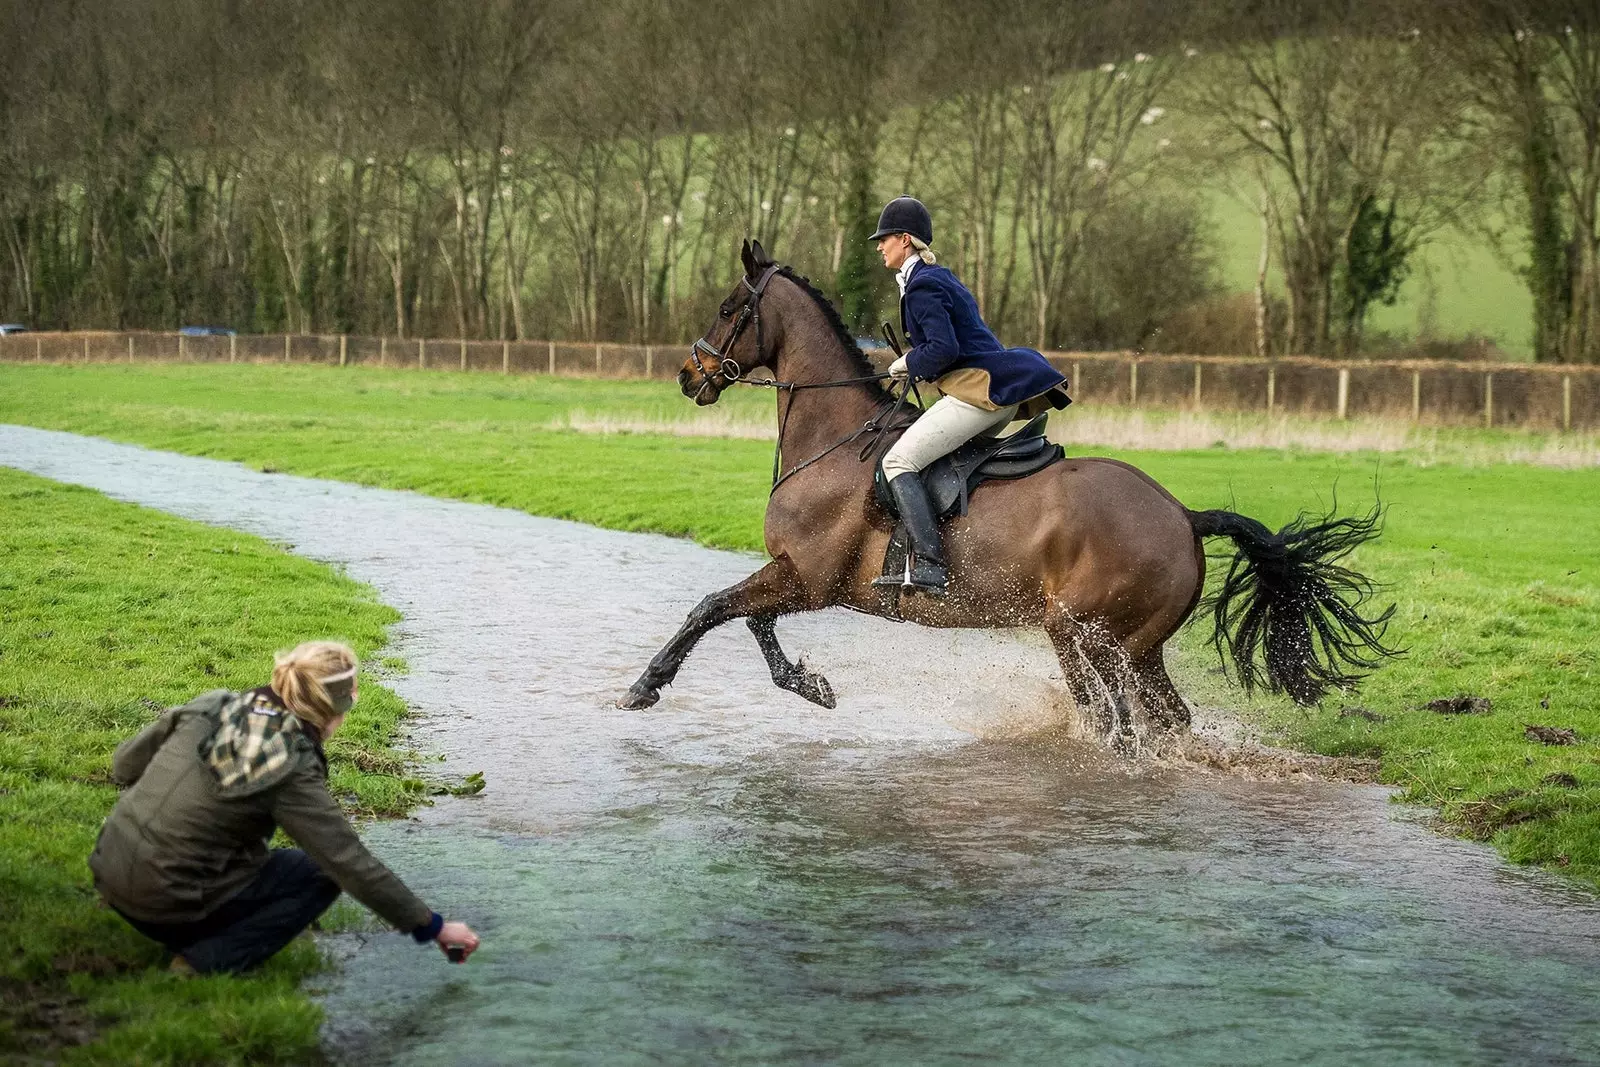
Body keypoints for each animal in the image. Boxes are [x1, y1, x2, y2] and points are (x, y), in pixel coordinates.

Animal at [617, 241, 1395, 748]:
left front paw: (647, 684)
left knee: (1115, 724)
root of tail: (1182, 514)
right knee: (1159, 720)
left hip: (1088, 636)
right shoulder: (800, 579)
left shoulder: (807, 577)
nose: (689, 376)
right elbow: (748, 621)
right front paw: (811, 684)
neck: (833, 434)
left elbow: (713, 609)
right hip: (1133, 648)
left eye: (728, 308)